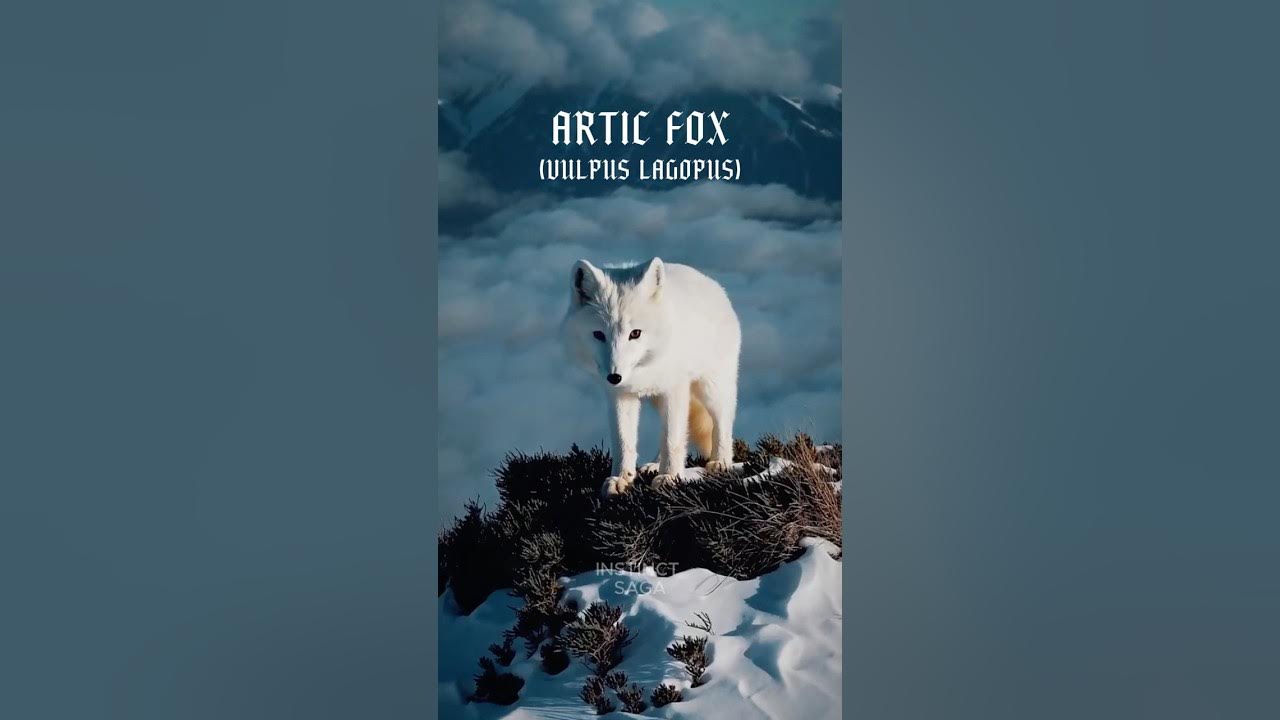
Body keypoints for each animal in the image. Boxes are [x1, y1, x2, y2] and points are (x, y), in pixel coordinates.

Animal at [561, 257, 742, 498]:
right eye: (599, 335)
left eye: (635, 333)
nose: (614, 377)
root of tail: (714, 285)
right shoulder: (620, 396)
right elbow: (624, 441)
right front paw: (621, 479)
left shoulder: (675, 390)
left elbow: (672, 439)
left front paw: (670, 477)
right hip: (659, 399)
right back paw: (654, 465)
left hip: (711, 390)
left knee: (722, 423)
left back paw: (721, 462)